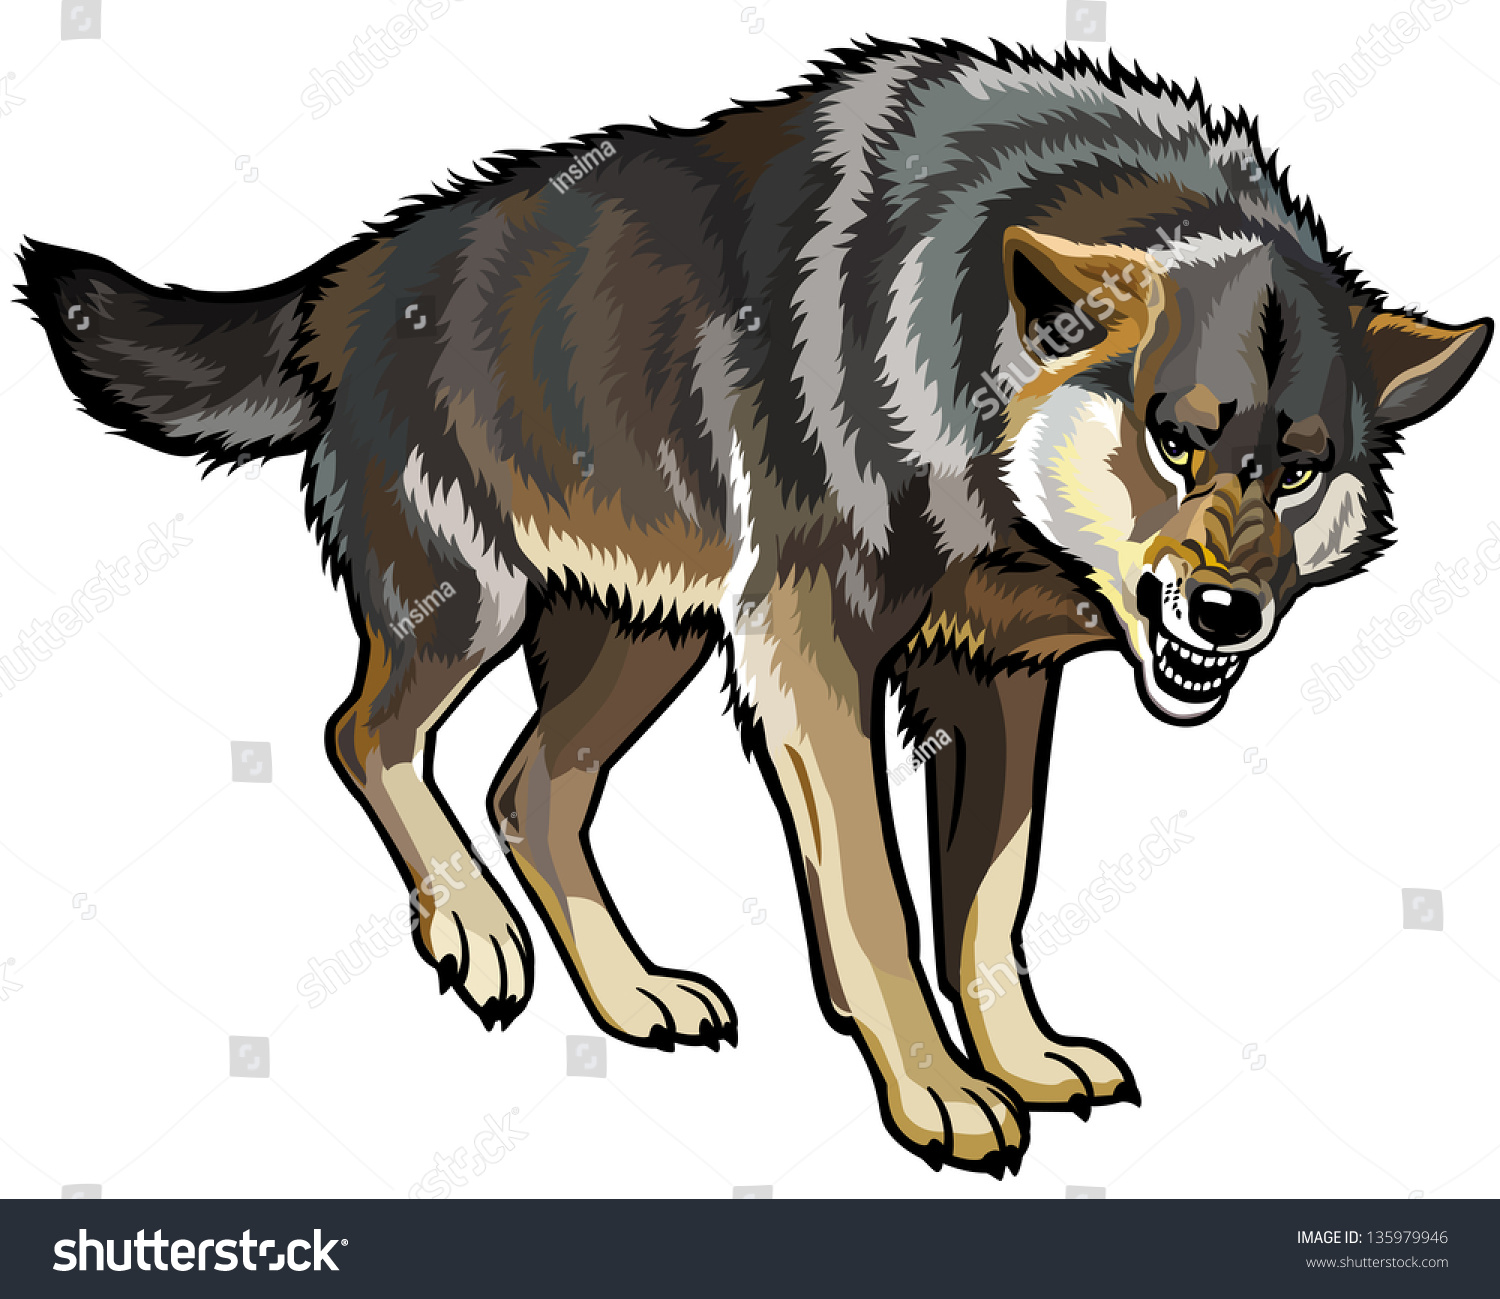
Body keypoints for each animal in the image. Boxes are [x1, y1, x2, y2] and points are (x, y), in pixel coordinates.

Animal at [20, 40, 1489, 1177]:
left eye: (1296, 469)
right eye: (1175, 440)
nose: (1228, 613)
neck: (958, 365)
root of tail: (354, 270)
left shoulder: (1000, 689)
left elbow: (991, 902)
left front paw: (1020, 1055)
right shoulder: (808, 650)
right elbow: (880, 903)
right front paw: (940, 1091)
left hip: (649, 642)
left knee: (527, 787)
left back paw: (628, 992)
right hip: (469, 609)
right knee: (366, 738)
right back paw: (476, 932)